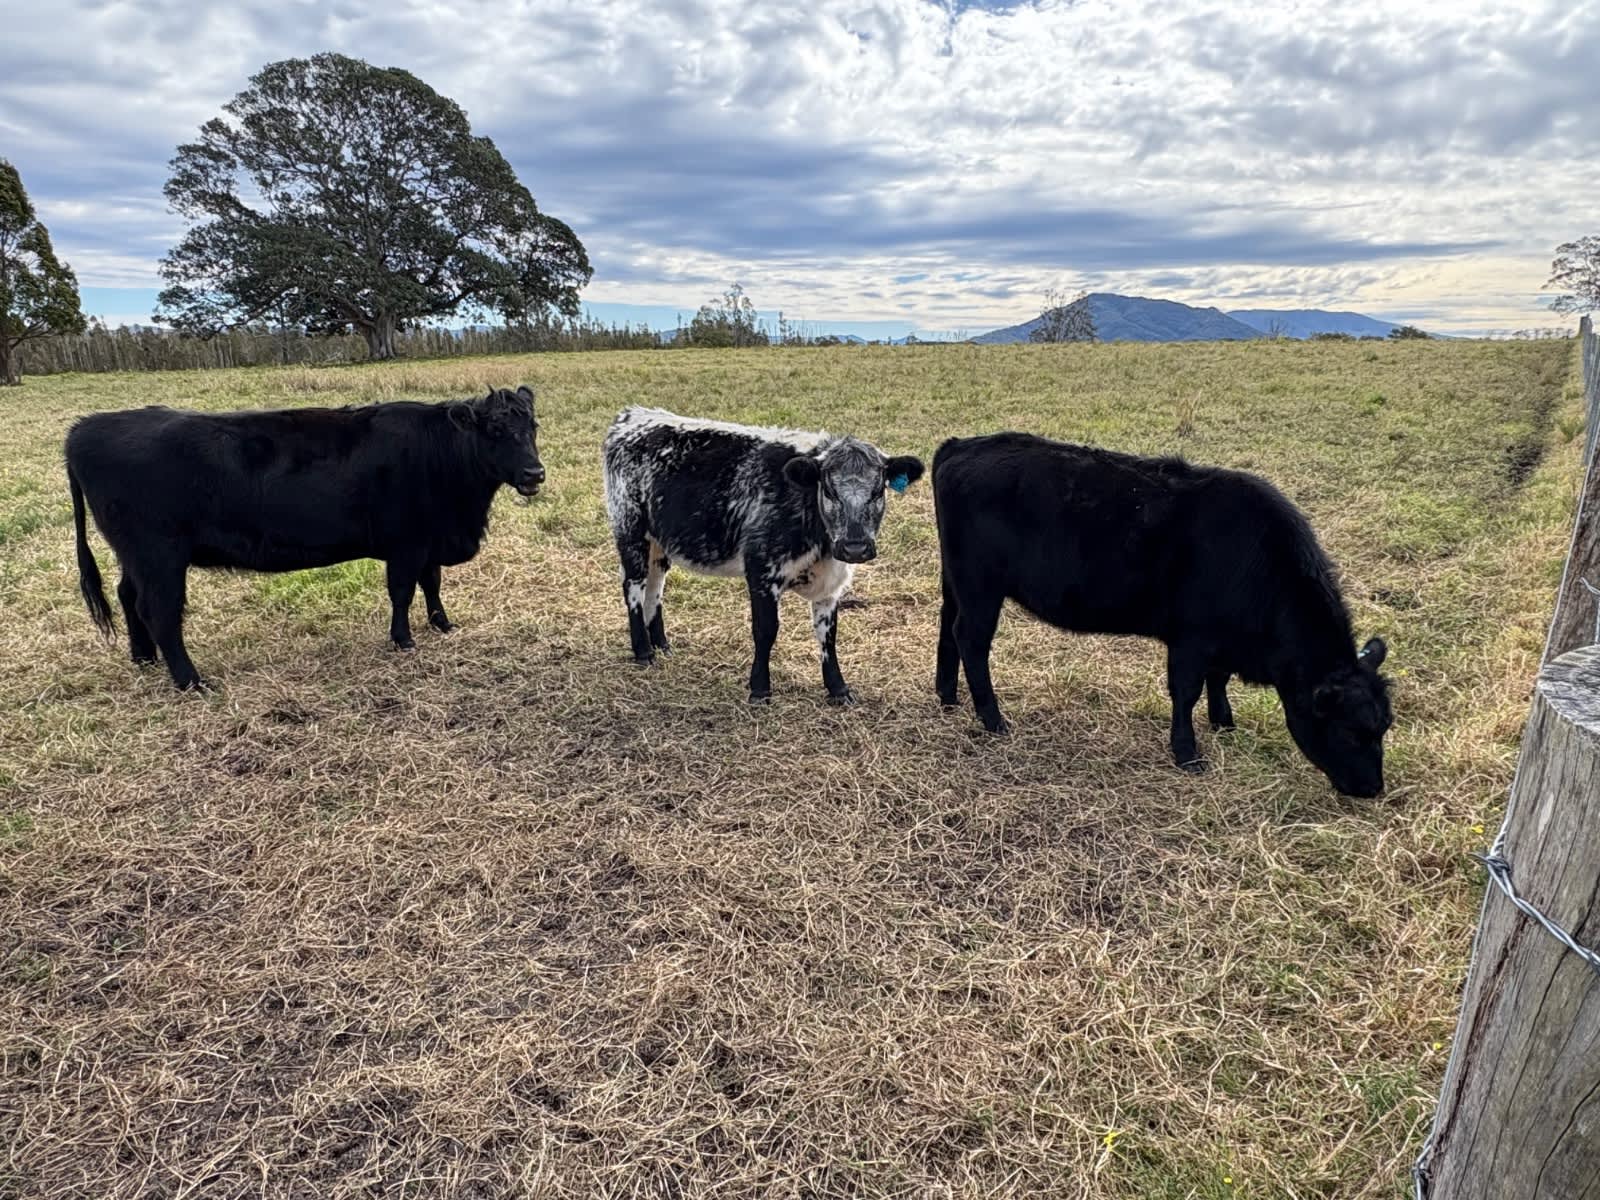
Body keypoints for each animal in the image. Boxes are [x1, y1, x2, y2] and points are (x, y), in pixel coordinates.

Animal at [66, 386, 545, 691]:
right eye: (494, 431)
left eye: (533, 427)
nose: (534, 473)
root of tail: (86, 427)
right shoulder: (406, 543)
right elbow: (402, 592)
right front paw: (403, 640)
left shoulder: (428, 538)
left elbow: (432, 584)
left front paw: (443, 624)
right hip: (159, 556)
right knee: (159, 611)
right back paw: (190, 681)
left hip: (134, 555)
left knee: (128, 596)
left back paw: (144, 658)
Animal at [602, 407, 924, 704]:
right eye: (829, 491)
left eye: (878, 491)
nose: (855, 547)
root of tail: (634, 415)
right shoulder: (761, 569)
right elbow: (766, 629)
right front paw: (759, 689)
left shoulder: (831, 584)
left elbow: (828, 636)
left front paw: (838, 689)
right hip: (630, 529)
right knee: (634, 587)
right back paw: (643, 651)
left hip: (659, 543)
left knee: (655, 588)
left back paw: (661, 645)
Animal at [932, 432, 1393, 797]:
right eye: (1351, 731)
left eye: (1385, 727)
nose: (1373, 789)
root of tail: (963, 445)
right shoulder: (1190, 640)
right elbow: (1186, 692)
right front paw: (1187, 753)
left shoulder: (1219, 642)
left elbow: (1218, 679)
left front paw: (1223, 723)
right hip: (981, 588)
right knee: (971, 640)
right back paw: (992, 718)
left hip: (956, 582)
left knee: (948, 629)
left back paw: (948, 696)